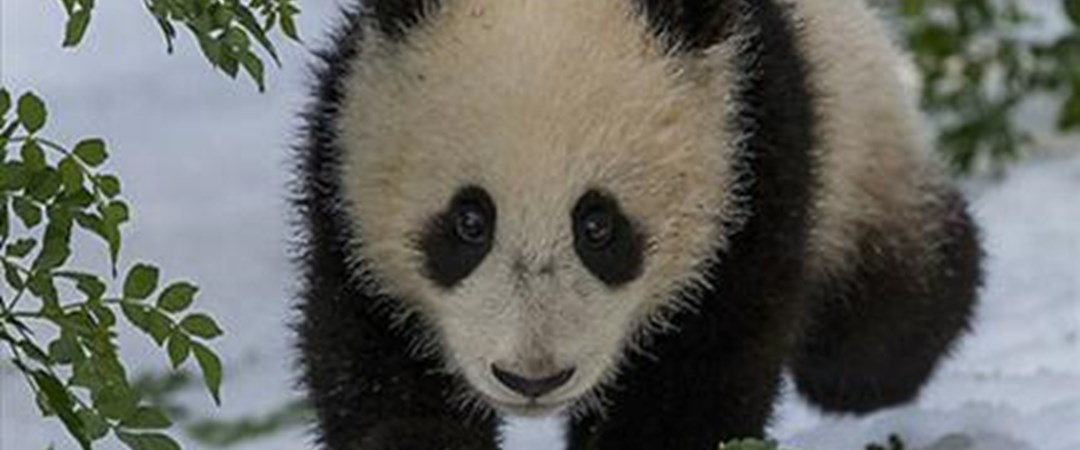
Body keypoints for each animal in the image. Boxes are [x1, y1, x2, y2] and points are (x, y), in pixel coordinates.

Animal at [293, 0, 983, 449]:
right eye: (469, 221)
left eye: (599, 226)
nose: (533, 377)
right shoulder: (344, 185)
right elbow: (378, 375)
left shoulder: (751, 161)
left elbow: (691, 382)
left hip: (858, 142)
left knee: (886, 303)